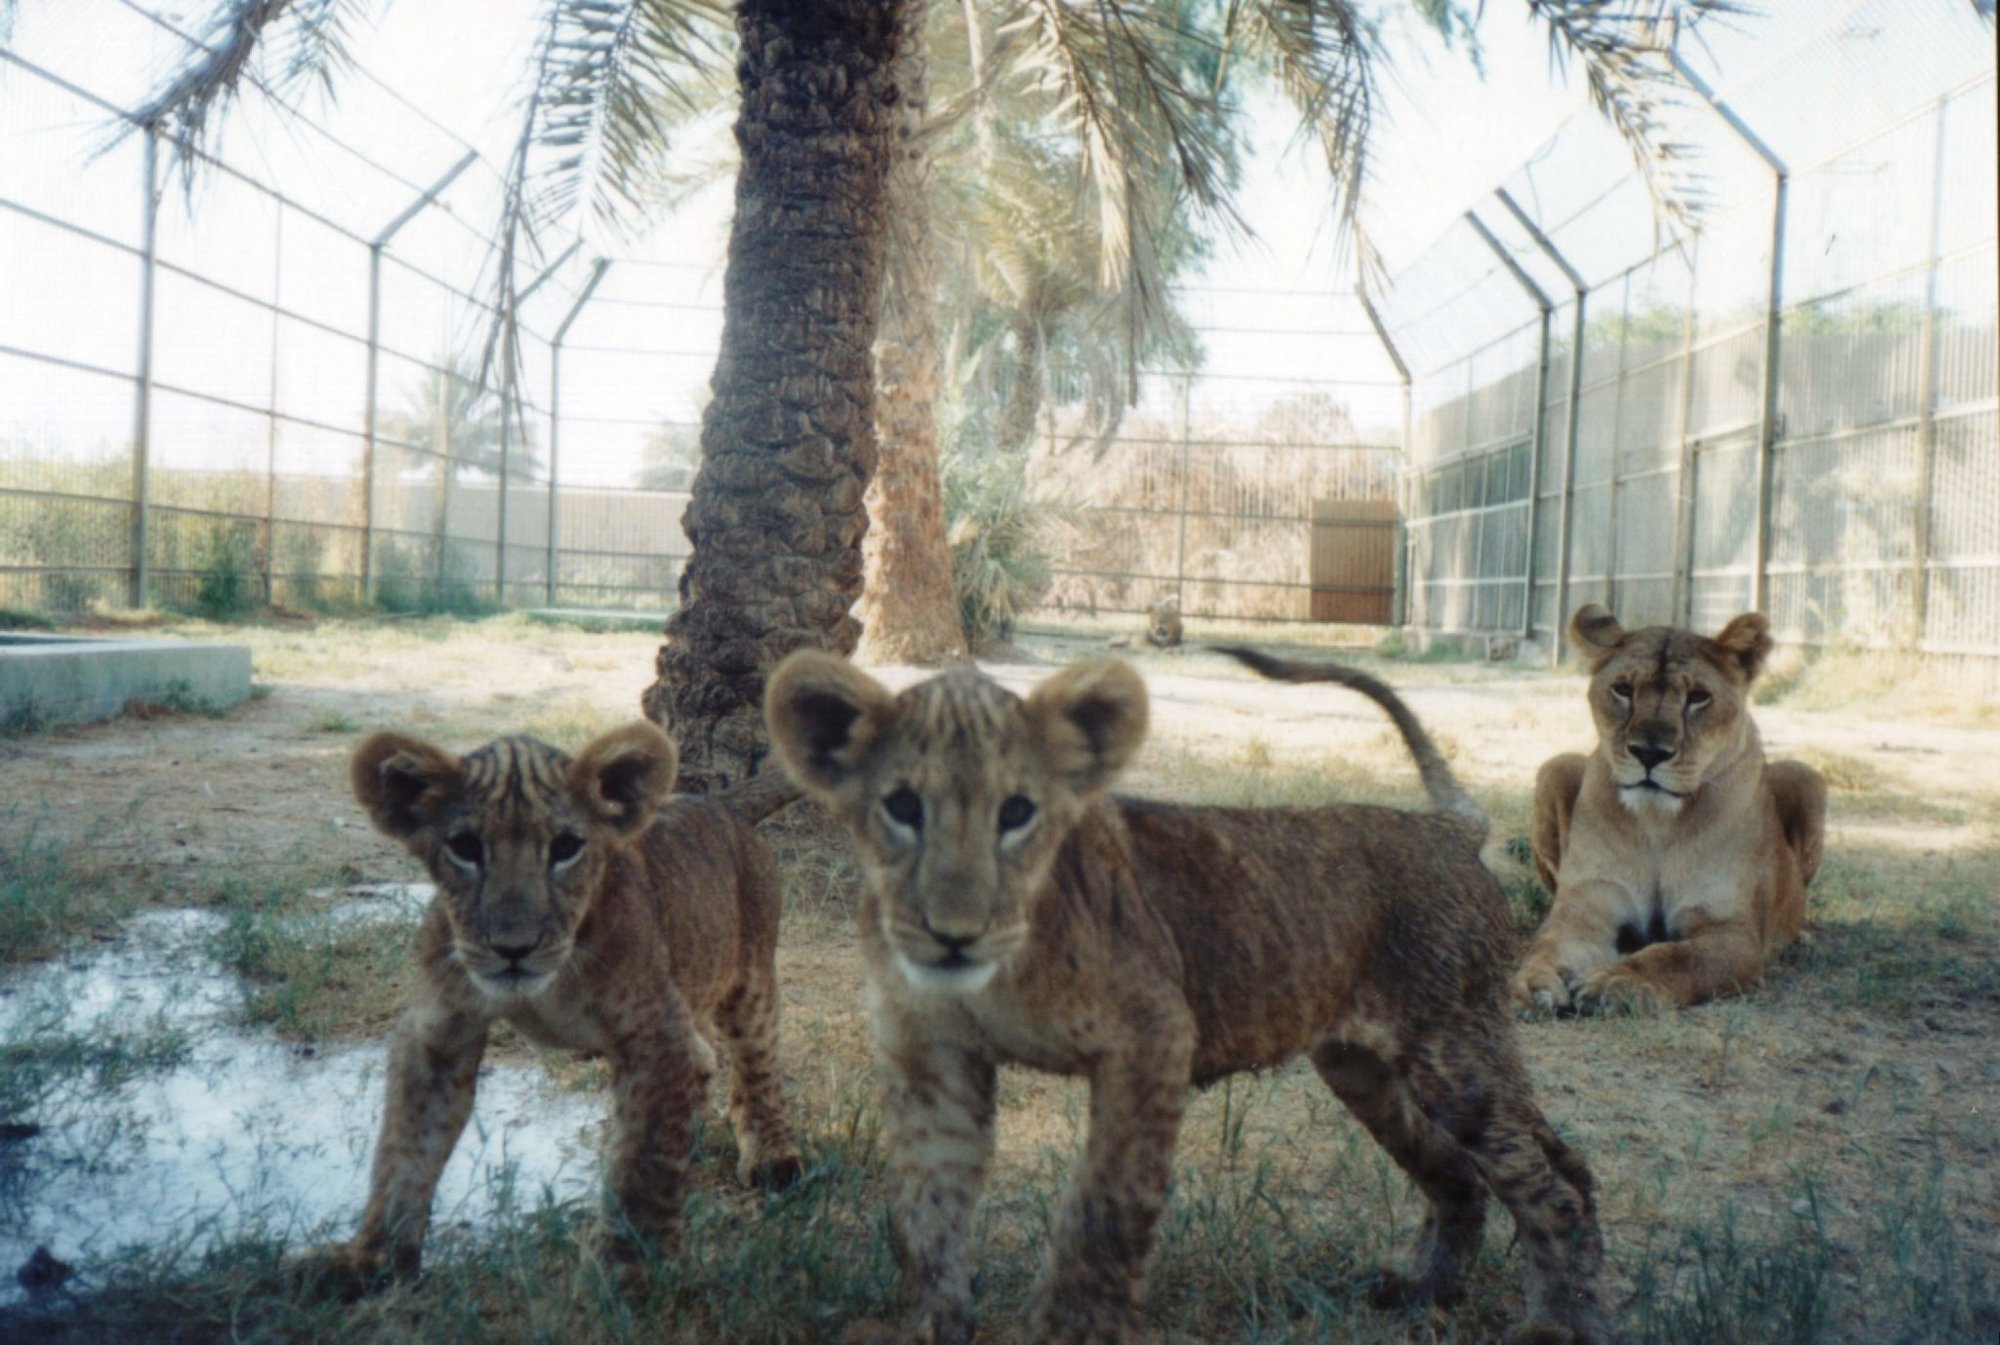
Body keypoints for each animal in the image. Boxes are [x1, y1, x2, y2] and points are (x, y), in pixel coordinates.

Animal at [303, 722, 803, 1297]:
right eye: (465, 847)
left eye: (565, 848)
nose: (513, 947)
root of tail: (721, 800)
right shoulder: (436, 1036)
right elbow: (404, 1151)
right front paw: (371, 1262)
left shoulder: (659, 1036)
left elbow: (642, 1162)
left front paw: (631, 1269)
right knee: (708, 1063)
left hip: (749, 983)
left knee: (756, 1067)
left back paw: (773, 1157)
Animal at [765, 646, 1606, 1344]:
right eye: (903, 806)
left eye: (1018, 812)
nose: (953, 932)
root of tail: (1448, 829)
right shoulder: (932, 1058)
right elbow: (926, 1217)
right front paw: (924, 1326)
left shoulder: (1152, 1036)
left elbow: (1104, 1210)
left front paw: (1069, 1328)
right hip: (1365, 1069)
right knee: (1466, 1171)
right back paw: (1424, 1291)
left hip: (1453, 1053)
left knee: (1552, 1177)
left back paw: (1558, 1324)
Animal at [1513, 605, 1827, 1015]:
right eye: (1623, 689)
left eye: (1698, 697)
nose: (1649, 752)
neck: (1657, 820)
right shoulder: (1585, 909)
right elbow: (1547, 946)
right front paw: (1533, 983)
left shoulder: (1733, 933)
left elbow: (1675, 958)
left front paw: (1618, 982)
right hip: (1555, 767)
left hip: (1805, 776)